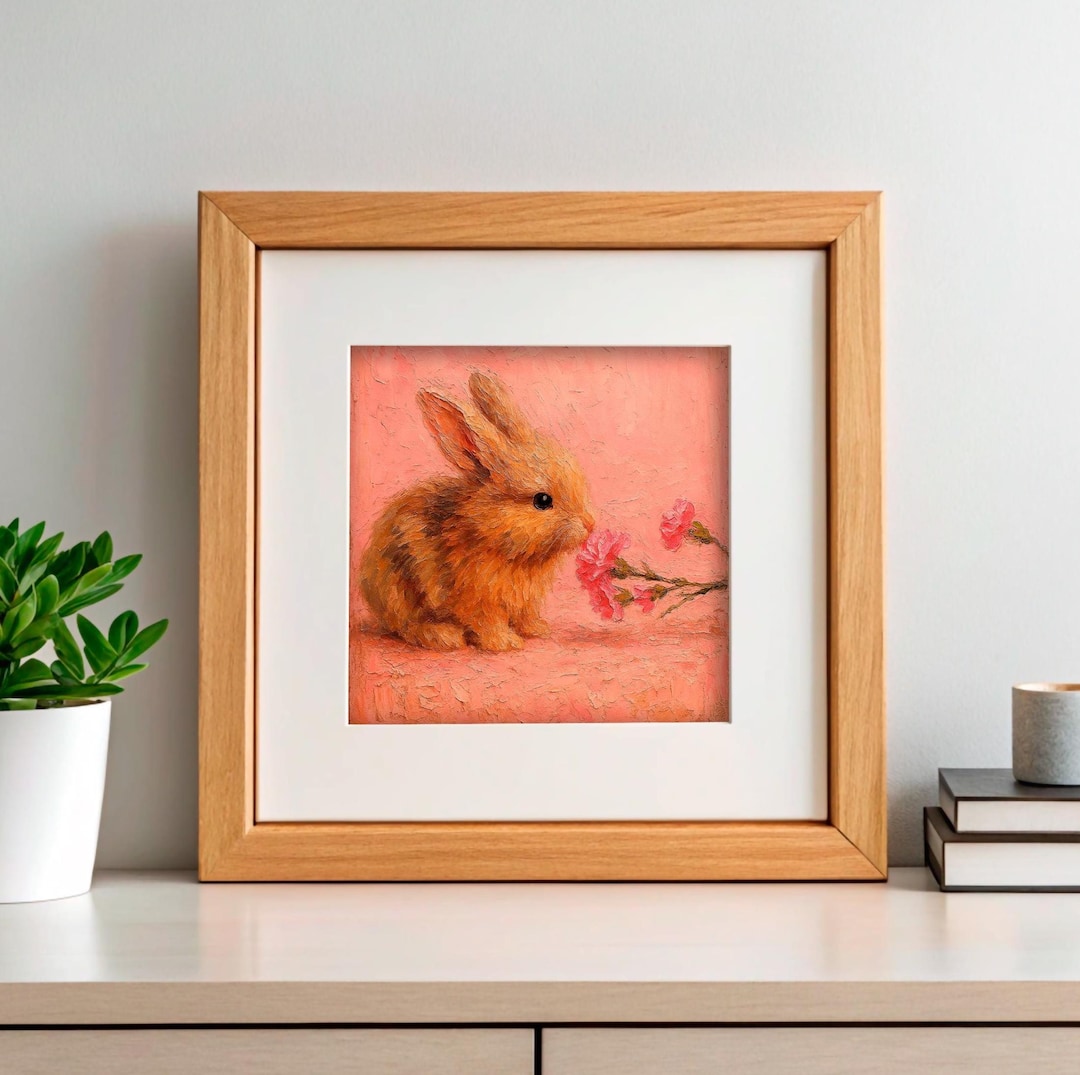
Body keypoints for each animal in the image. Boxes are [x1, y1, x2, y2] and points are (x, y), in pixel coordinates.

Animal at [360, 370, 596, 651]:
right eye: (542, 500)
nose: (590, 524)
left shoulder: (526, 601)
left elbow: (525, 615)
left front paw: (537, 630)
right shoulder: (477, 599)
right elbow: (488, 622)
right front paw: (506, 643)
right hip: (399, 591)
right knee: (406, 627)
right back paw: (444, 636)